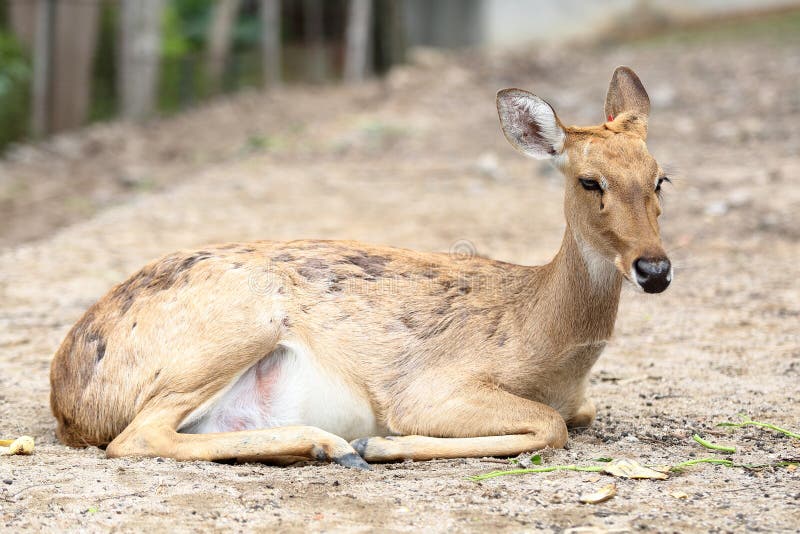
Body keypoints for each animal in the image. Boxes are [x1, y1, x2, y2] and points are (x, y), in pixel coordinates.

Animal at [50, 67, 672, 469]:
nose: (655, 268)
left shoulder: (577, 398)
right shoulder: (430, 388)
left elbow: (573, 416)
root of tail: (69, 402)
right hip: (234, 324)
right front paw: (387, 443)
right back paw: (329, 444)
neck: (545, 346)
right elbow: (550, 425)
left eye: (661, 176)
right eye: (589, 180)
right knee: (136, 436)